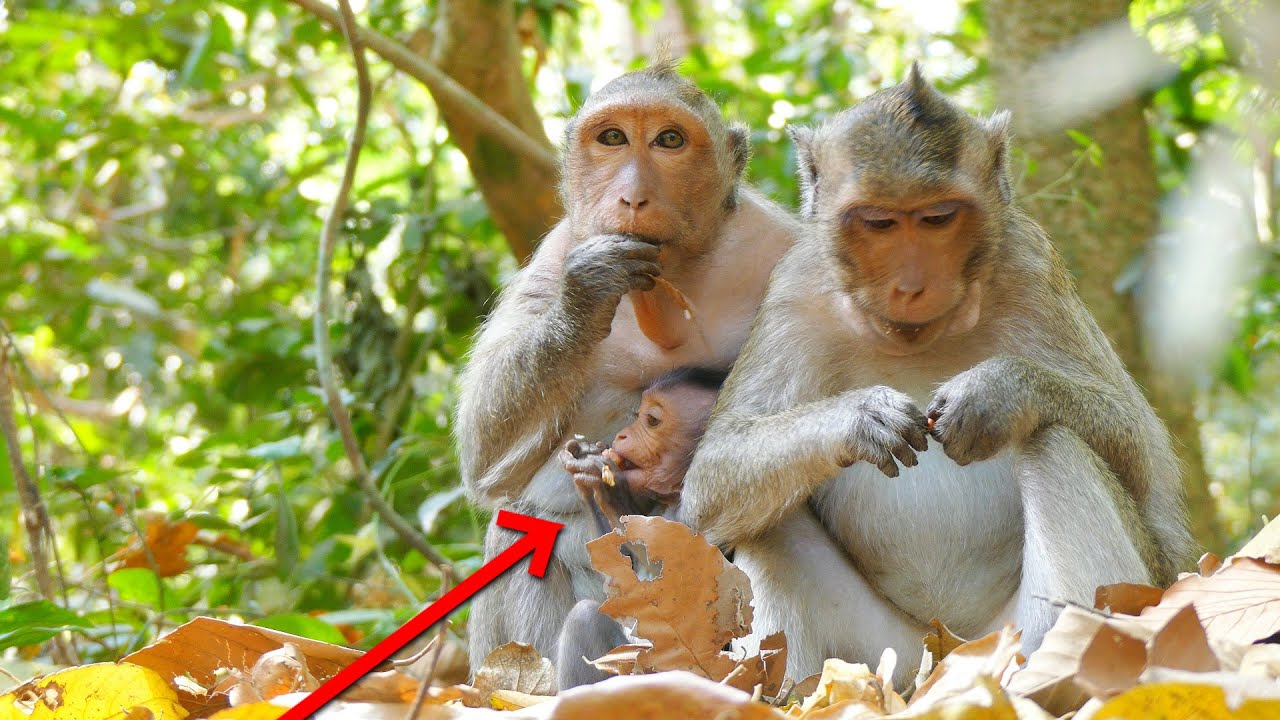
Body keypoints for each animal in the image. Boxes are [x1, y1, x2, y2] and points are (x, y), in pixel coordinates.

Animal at [679, 64, 1197, 685]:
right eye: (879, 222)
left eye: (938, 218)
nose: (911, 285)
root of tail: (949, 648)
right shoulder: (793, 290)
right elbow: (713, 474)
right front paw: (862, 419)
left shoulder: (1033, 267)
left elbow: (1146, 469)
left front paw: (999, 392)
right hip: (889, 655)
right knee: (763, 521)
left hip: (1017, 627)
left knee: (1054, 443)